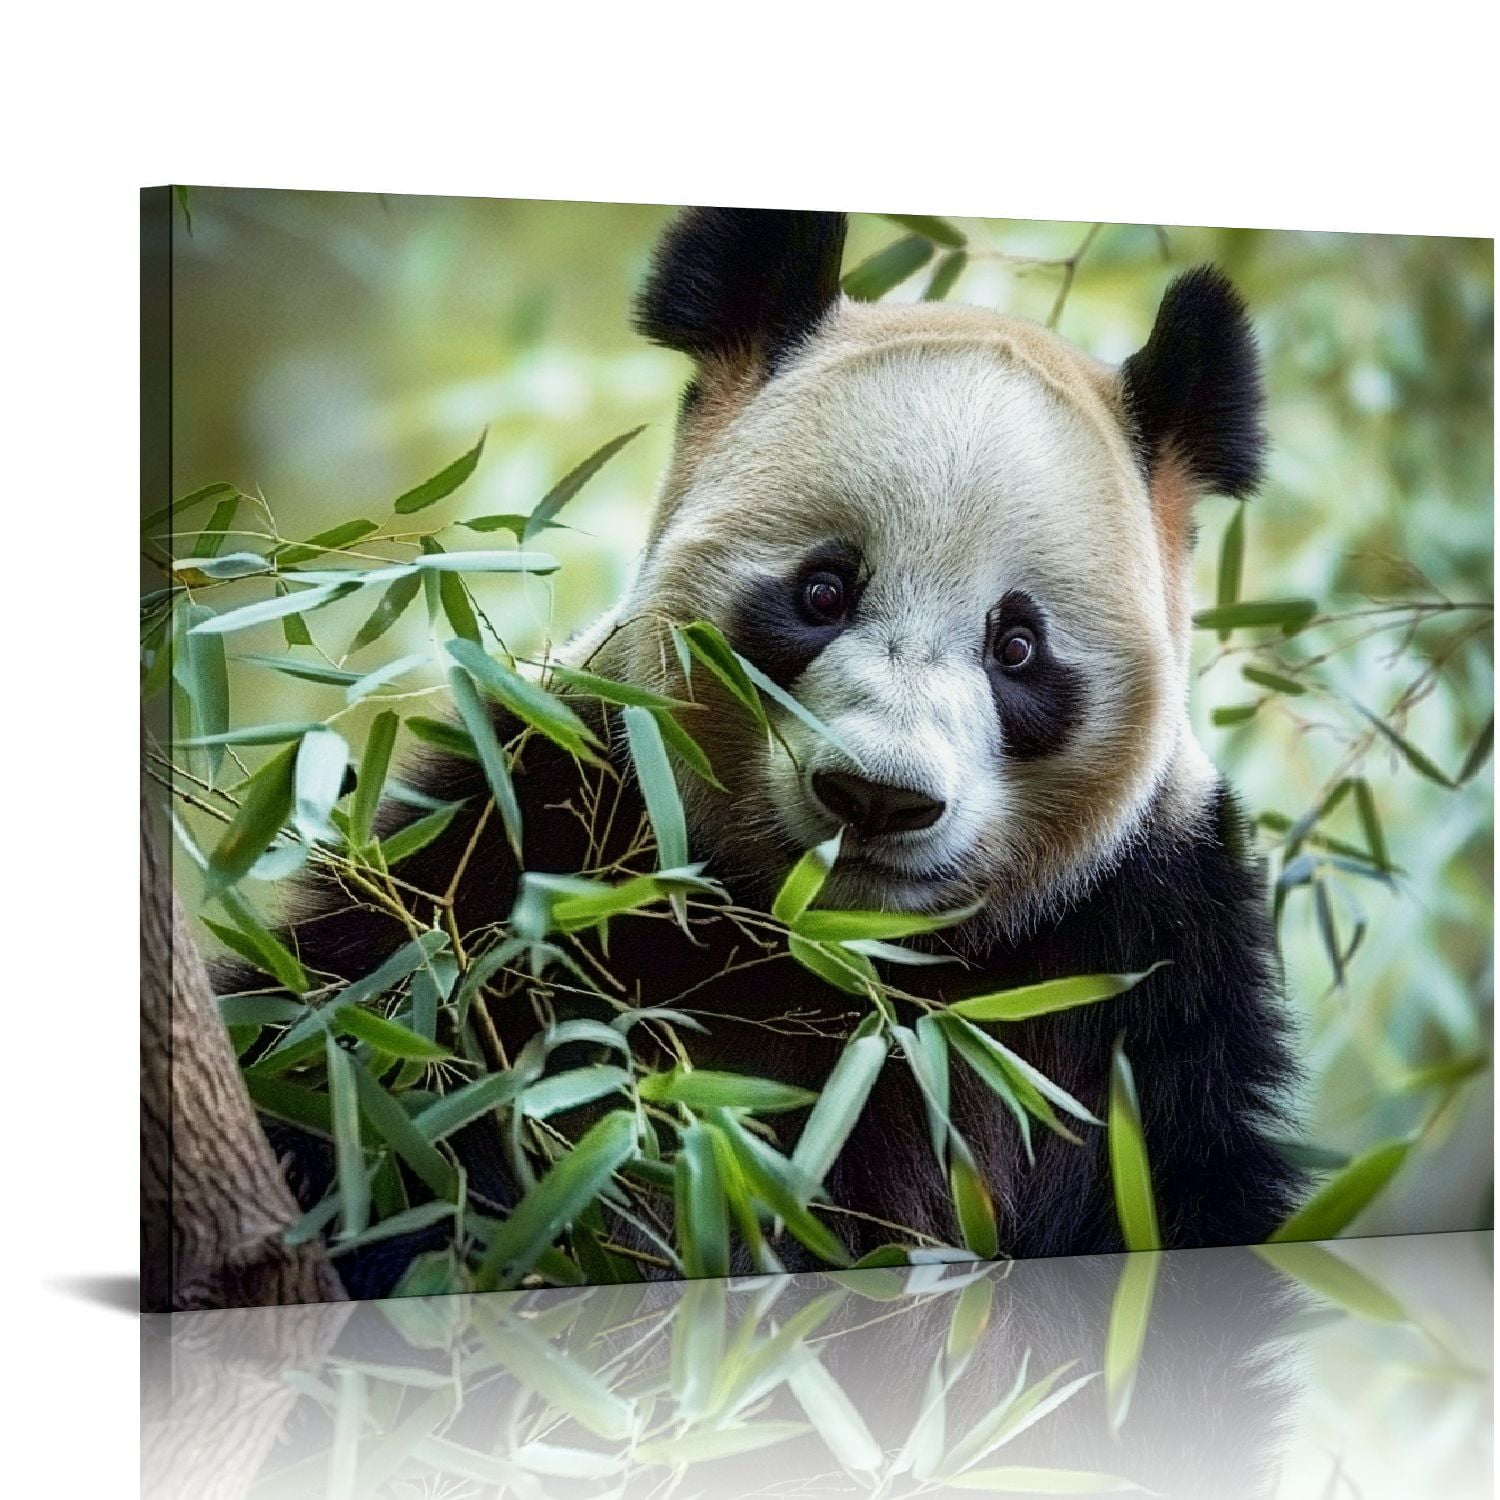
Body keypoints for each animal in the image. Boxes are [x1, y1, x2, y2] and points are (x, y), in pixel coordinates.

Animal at [244, 207, 1306, 1297]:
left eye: (1017, 646)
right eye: (823, 591)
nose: (878, 798)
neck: (841, 952)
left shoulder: (1146, 949)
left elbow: (1177, 1180)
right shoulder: (537, 818)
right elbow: (368, 1040)